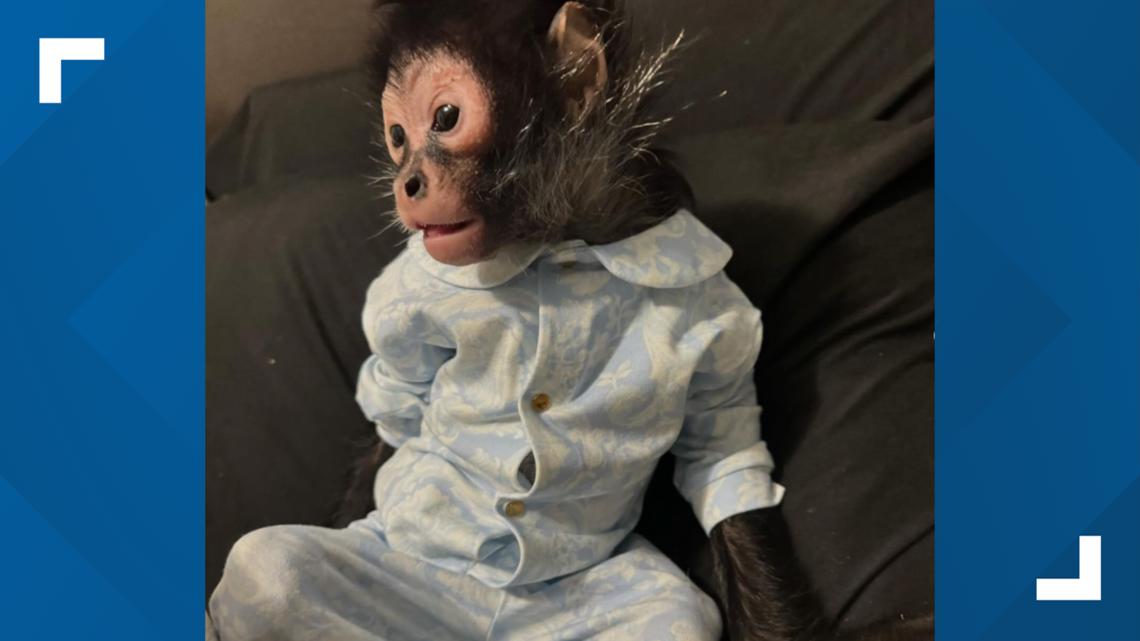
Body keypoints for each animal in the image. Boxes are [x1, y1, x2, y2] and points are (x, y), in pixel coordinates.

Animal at [207, 2, 933, 640]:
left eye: (445, 117)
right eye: (396, 137)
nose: (406, 181)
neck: (564, 243)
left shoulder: (717, 301)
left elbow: (722, 445)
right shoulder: (411, 286)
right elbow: (399, 400)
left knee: (671, 615)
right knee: (271, 572)